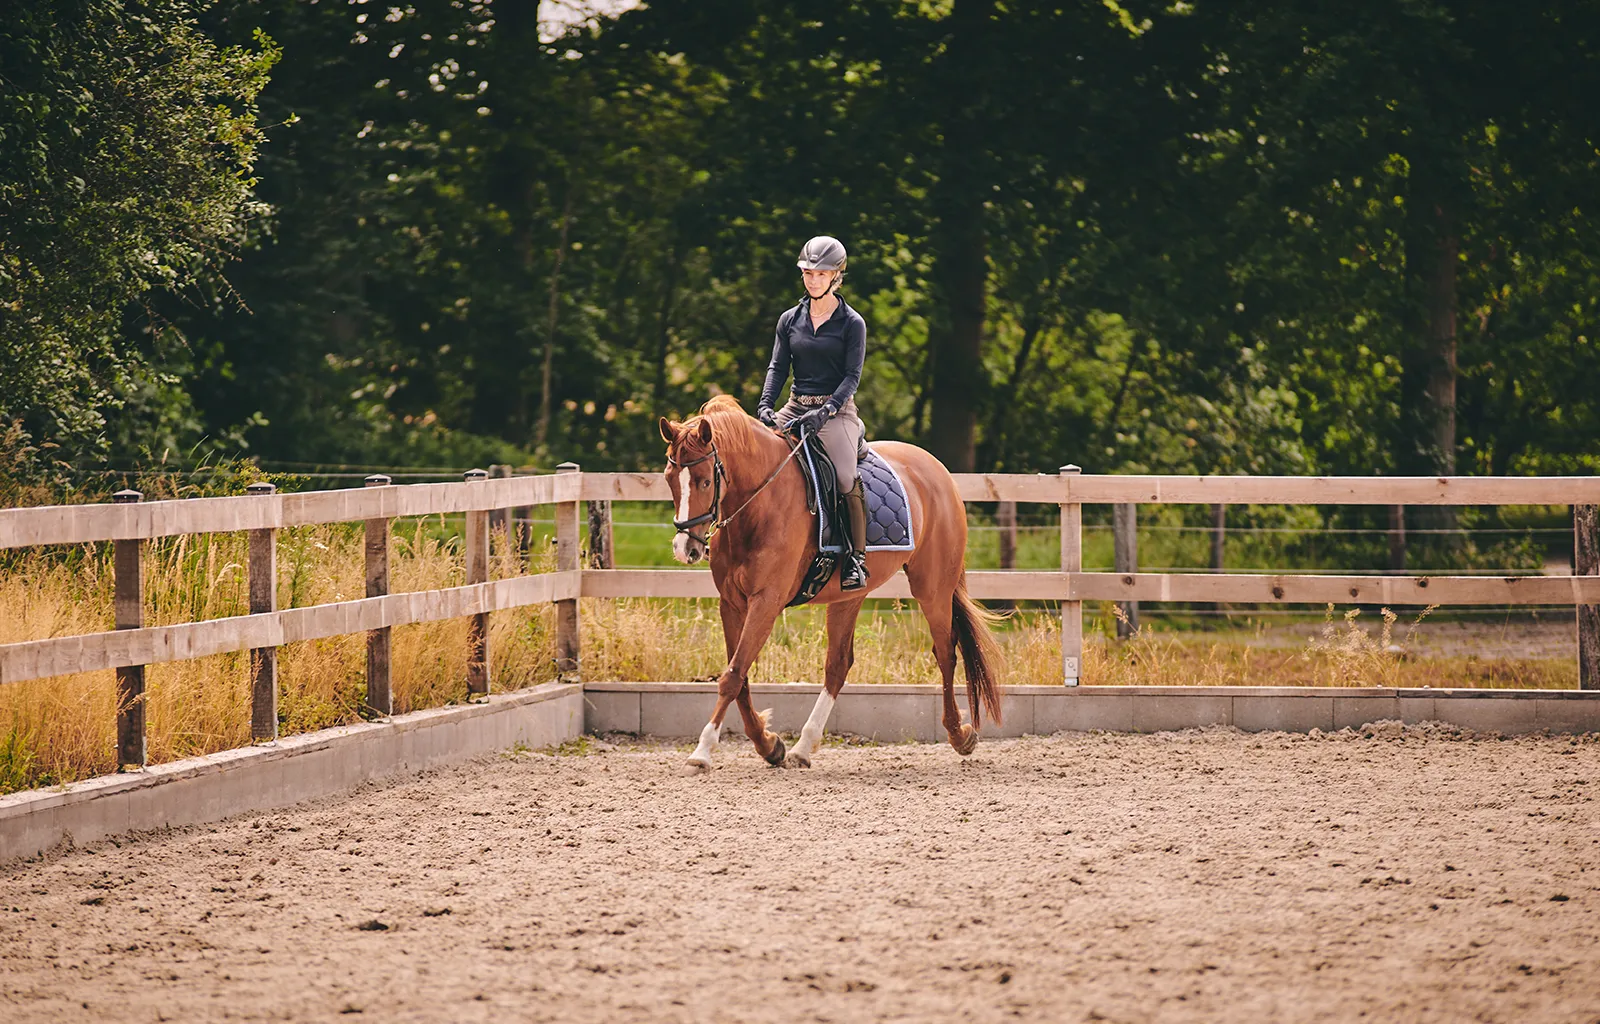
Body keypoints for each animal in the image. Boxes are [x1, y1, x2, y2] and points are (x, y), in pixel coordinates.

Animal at [658, 394, 1002, 772]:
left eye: (705, 481)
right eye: (670, 478)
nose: (685, 548)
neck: (760, 503)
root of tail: (937, 470)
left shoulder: (766, 601)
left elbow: (733, 676)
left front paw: (702, 751)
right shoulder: (732, 603)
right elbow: (741, 675)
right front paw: (769, 745)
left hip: (933, 588)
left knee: (945, 653)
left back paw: (959, 734)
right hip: (849, 596)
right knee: (838, 665)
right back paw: (802, 747)